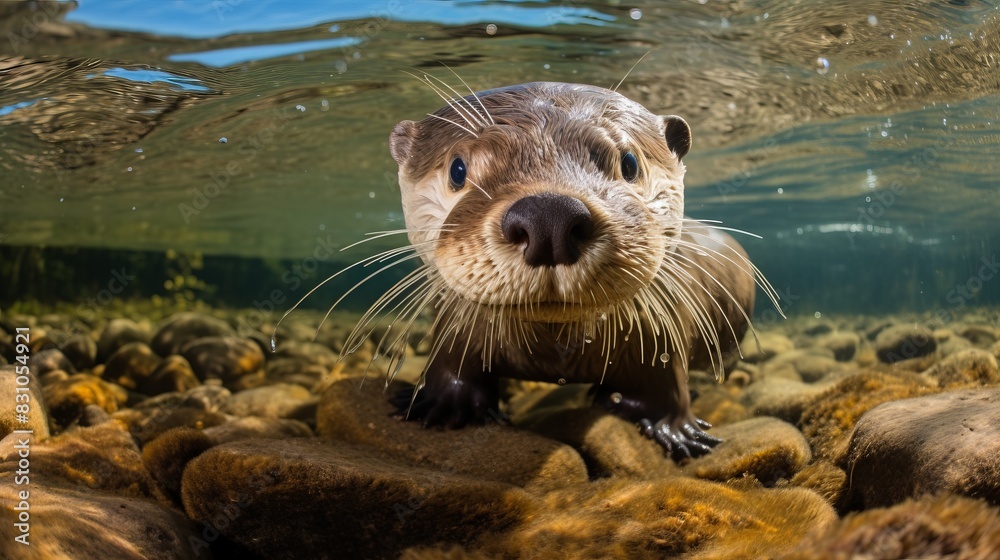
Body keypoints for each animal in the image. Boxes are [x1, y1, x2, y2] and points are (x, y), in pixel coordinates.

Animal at [291, 80, 776, 461]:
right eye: (458, 168)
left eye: (630, 162)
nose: (550, 217)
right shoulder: (453, 324)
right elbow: (452, 367)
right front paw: (441, 403)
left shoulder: (661, 331)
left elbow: (665, 390)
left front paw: (674, 430)